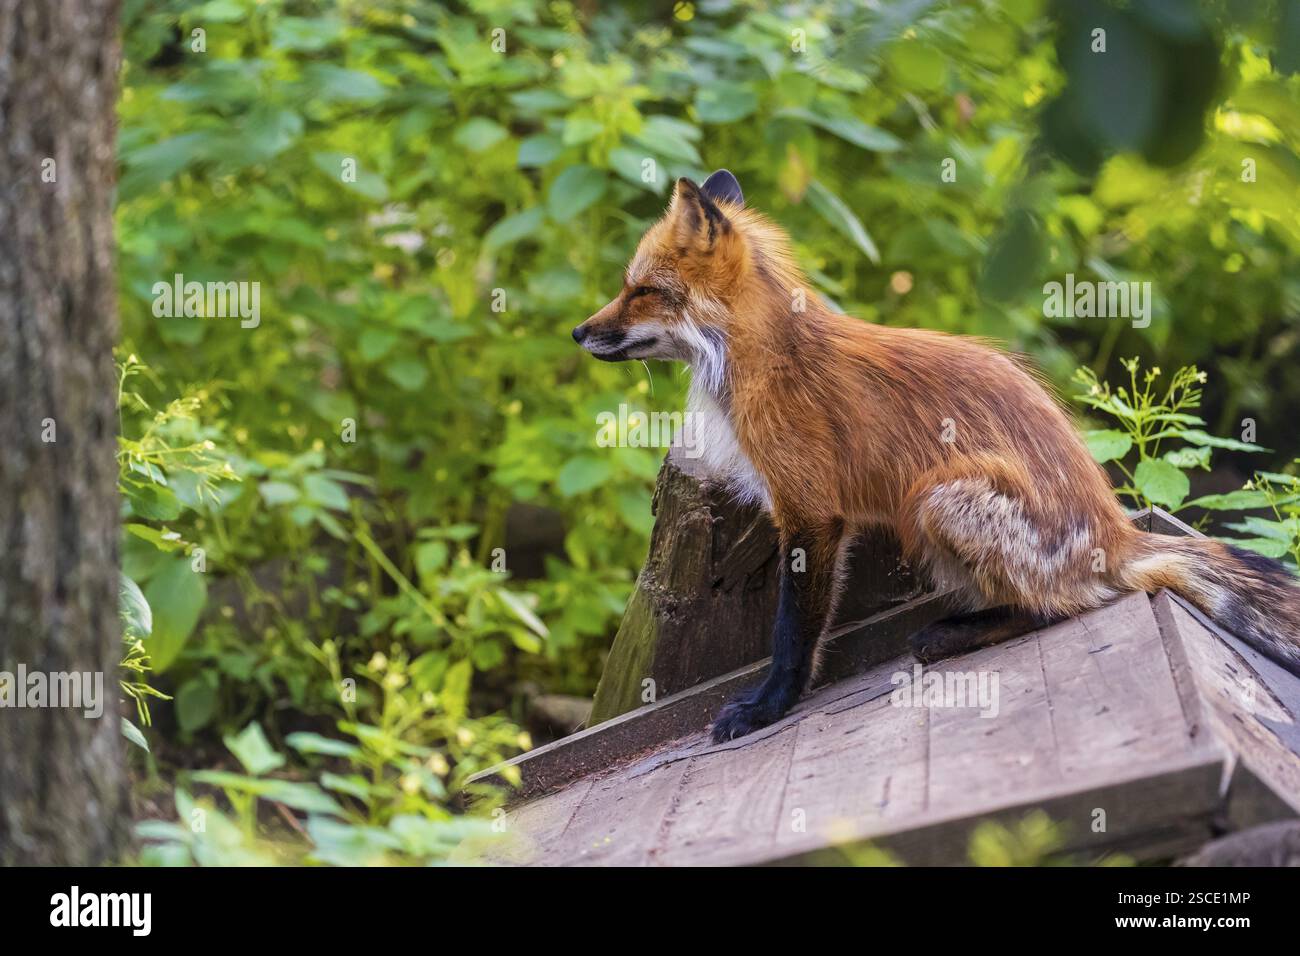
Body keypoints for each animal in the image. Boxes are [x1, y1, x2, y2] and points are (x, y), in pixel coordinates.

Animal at [572, 169, 1300, 744]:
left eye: (641, 290)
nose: (579, 332)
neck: (762, 358)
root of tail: (1119, 532)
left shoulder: (811, 513)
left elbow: (793, 633)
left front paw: (768, 708)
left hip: (939, 498)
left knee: (1068, 601)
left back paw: (956, 632)